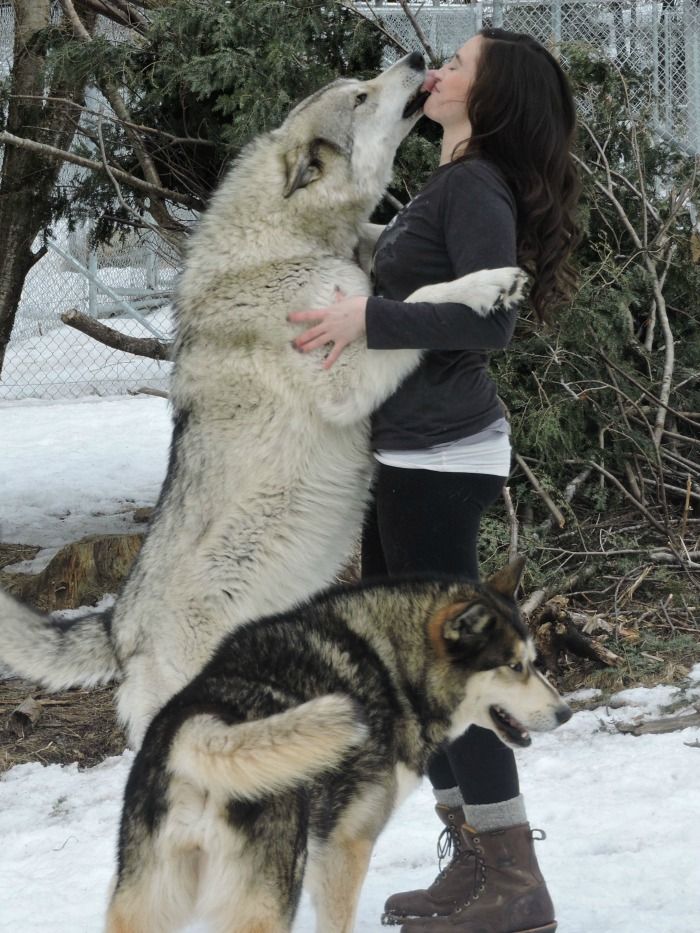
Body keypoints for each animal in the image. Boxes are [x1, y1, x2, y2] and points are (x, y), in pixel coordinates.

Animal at [0, 52, 526, 747]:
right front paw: (489, 283)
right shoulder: (344, 370)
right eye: (361, 96)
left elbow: (389, 266)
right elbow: (418, 298)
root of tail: (117, 626)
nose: (416, 58)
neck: (293, 240)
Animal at [105, 559, 571, 933]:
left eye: (534, 662)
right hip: (267, 900)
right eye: (514, 666)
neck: (394, 669)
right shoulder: (348, 849)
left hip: (144, 902)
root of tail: (201, 723)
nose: (565, 713)